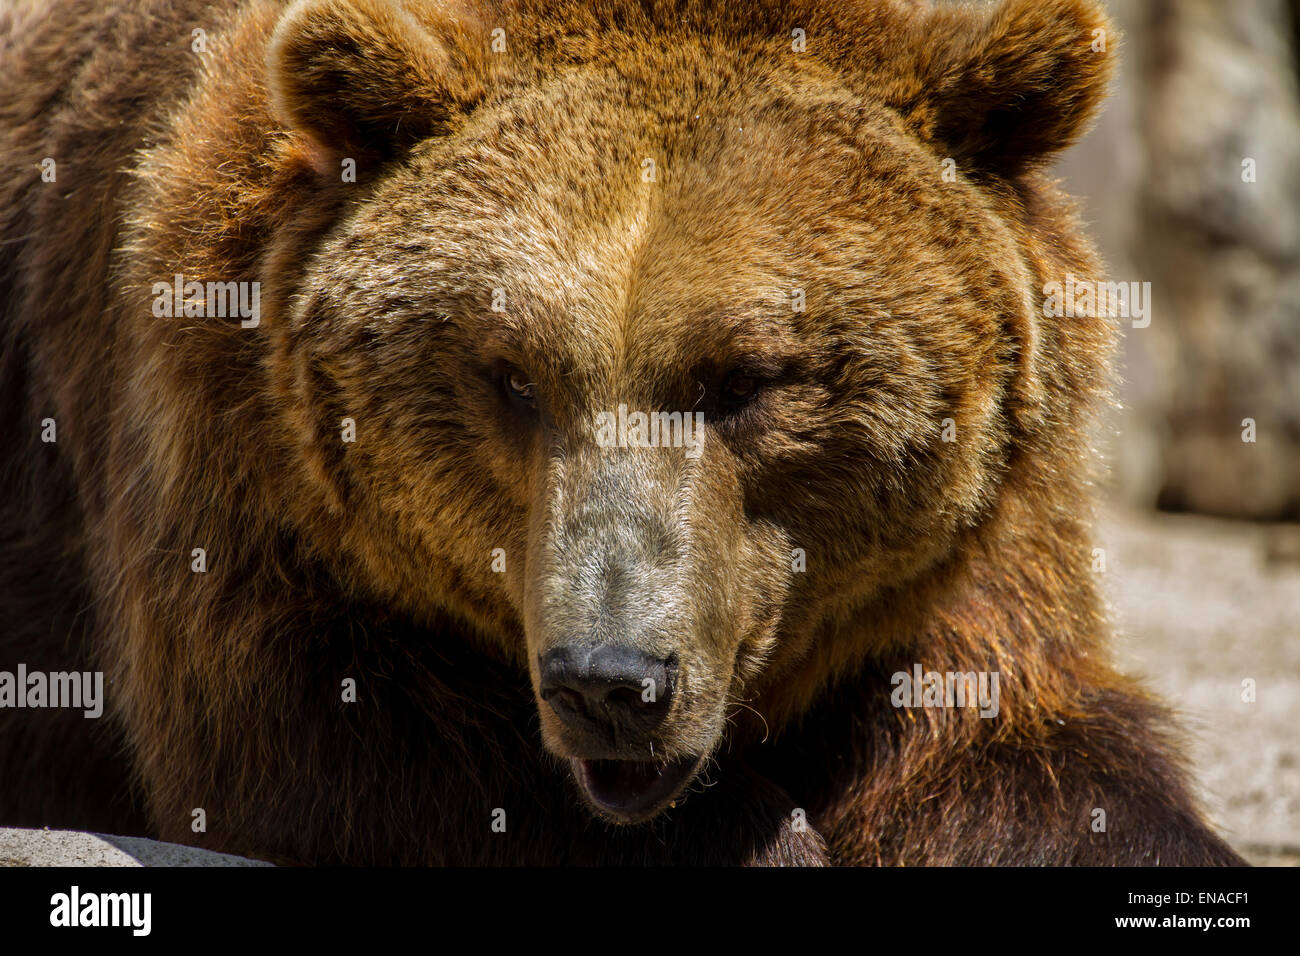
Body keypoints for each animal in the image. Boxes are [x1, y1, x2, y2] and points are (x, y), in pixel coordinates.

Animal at [0, 0, 1246, 865]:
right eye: (512, 375)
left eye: (746, 377)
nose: (609, 679)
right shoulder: (239, 469)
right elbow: (329, 741)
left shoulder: (973, 550)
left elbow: (1023, 756)